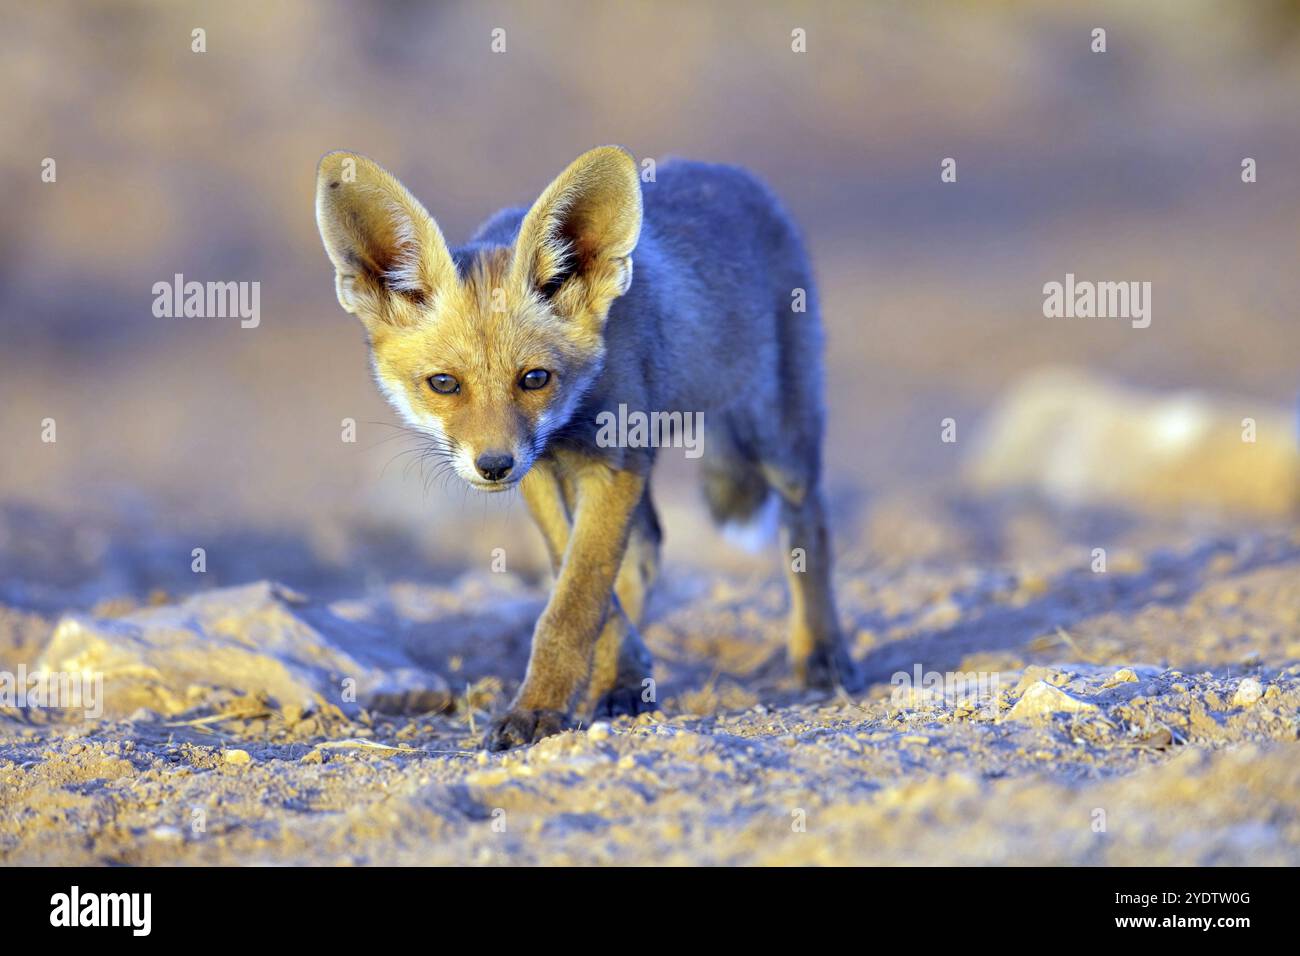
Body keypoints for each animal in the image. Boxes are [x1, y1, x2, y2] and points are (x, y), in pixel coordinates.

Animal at [314, 145, 860, 750]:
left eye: (534, 378)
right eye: (444, 384)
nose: (492, 466)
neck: (577, 410)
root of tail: (729, 172)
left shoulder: (613, 462)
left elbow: (574, 601)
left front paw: (538, 709)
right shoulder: (543, 470)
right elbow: (582, 583)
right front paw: (622, 672)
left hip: (779, 438)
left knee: (808, 526)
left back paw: (822, 651)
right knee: (647, 549)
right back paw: (622, 679)